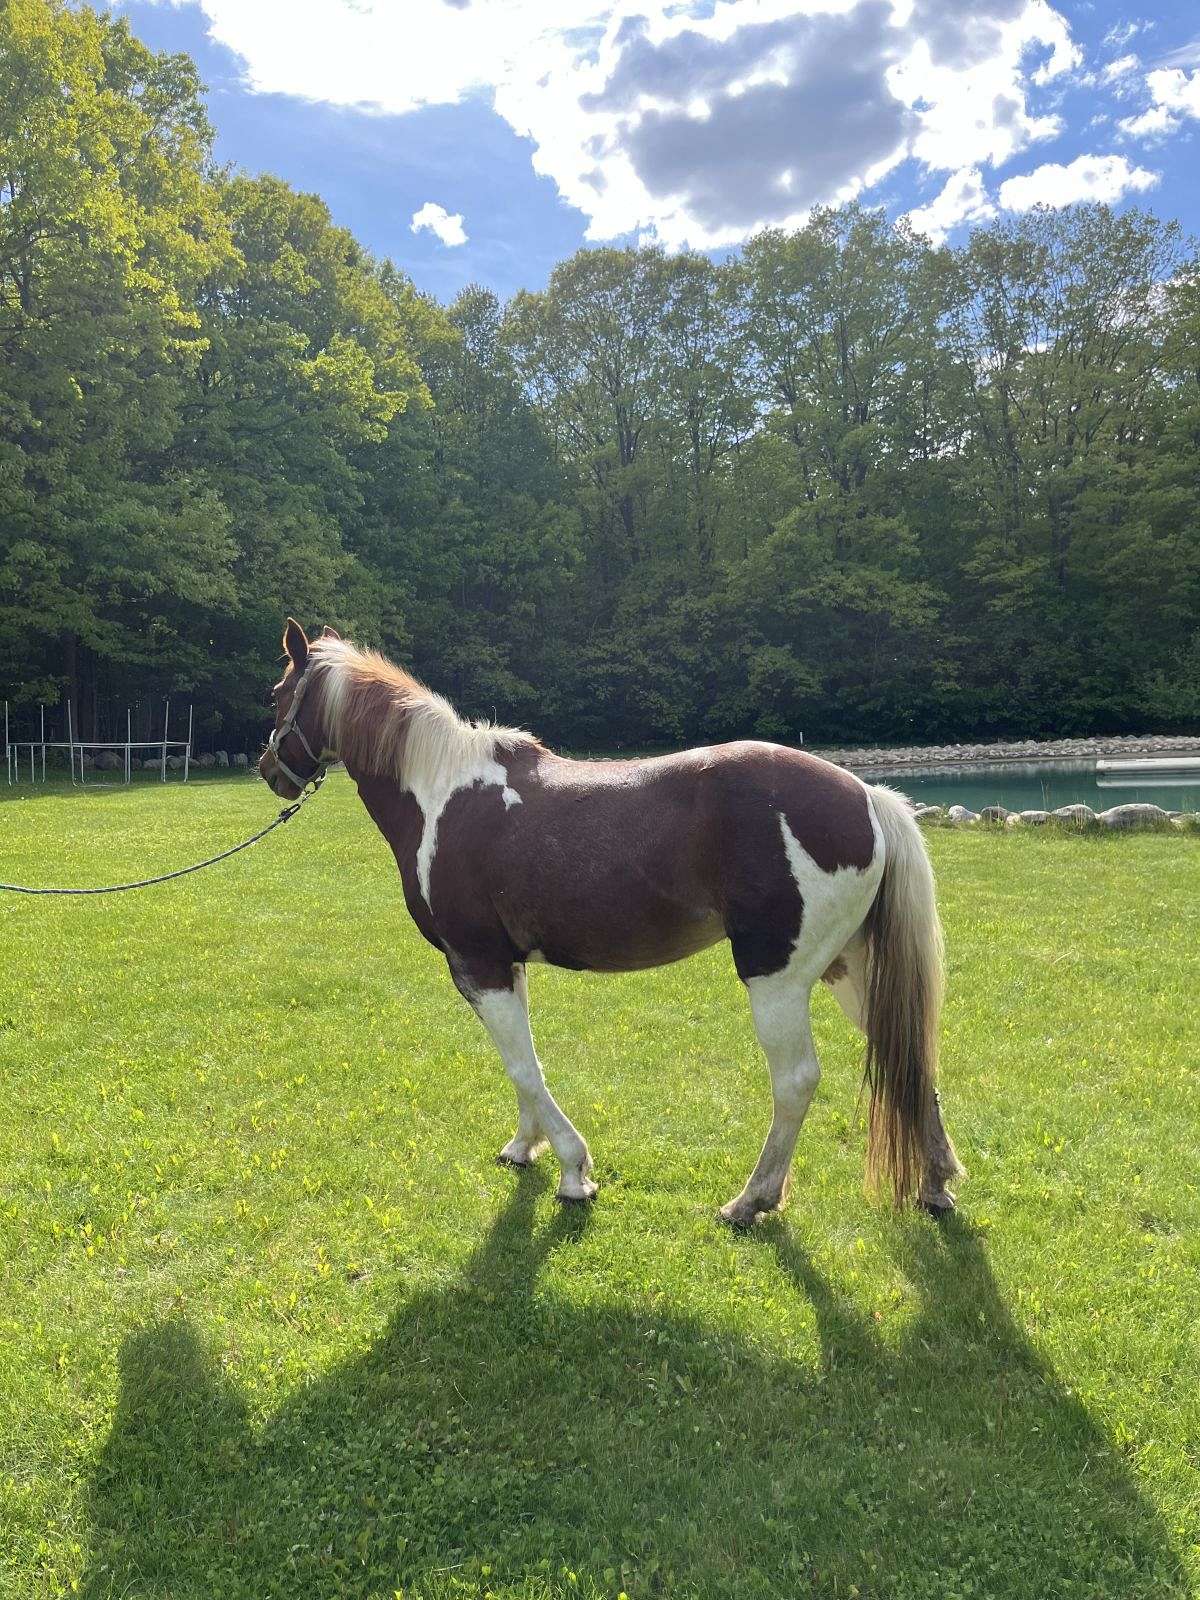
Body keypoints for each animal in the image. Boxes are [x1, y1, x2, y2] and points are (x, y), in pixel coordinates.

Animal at [260, 618, 963, 1224]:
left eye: (277, 694)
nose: (270, 773)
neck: (439, 792)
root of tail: (865, 794)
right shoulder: (504, 967)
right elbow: (523, 1064)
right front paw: (524, 1147)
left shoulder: (477, 965)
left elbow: (524, 1066)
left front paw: (574, 1172)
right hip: (849, 967)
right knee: (908, 1056)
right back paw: (934, 1185)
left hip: (778, 979)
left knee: (796, 1081)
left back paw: (751, 1201)